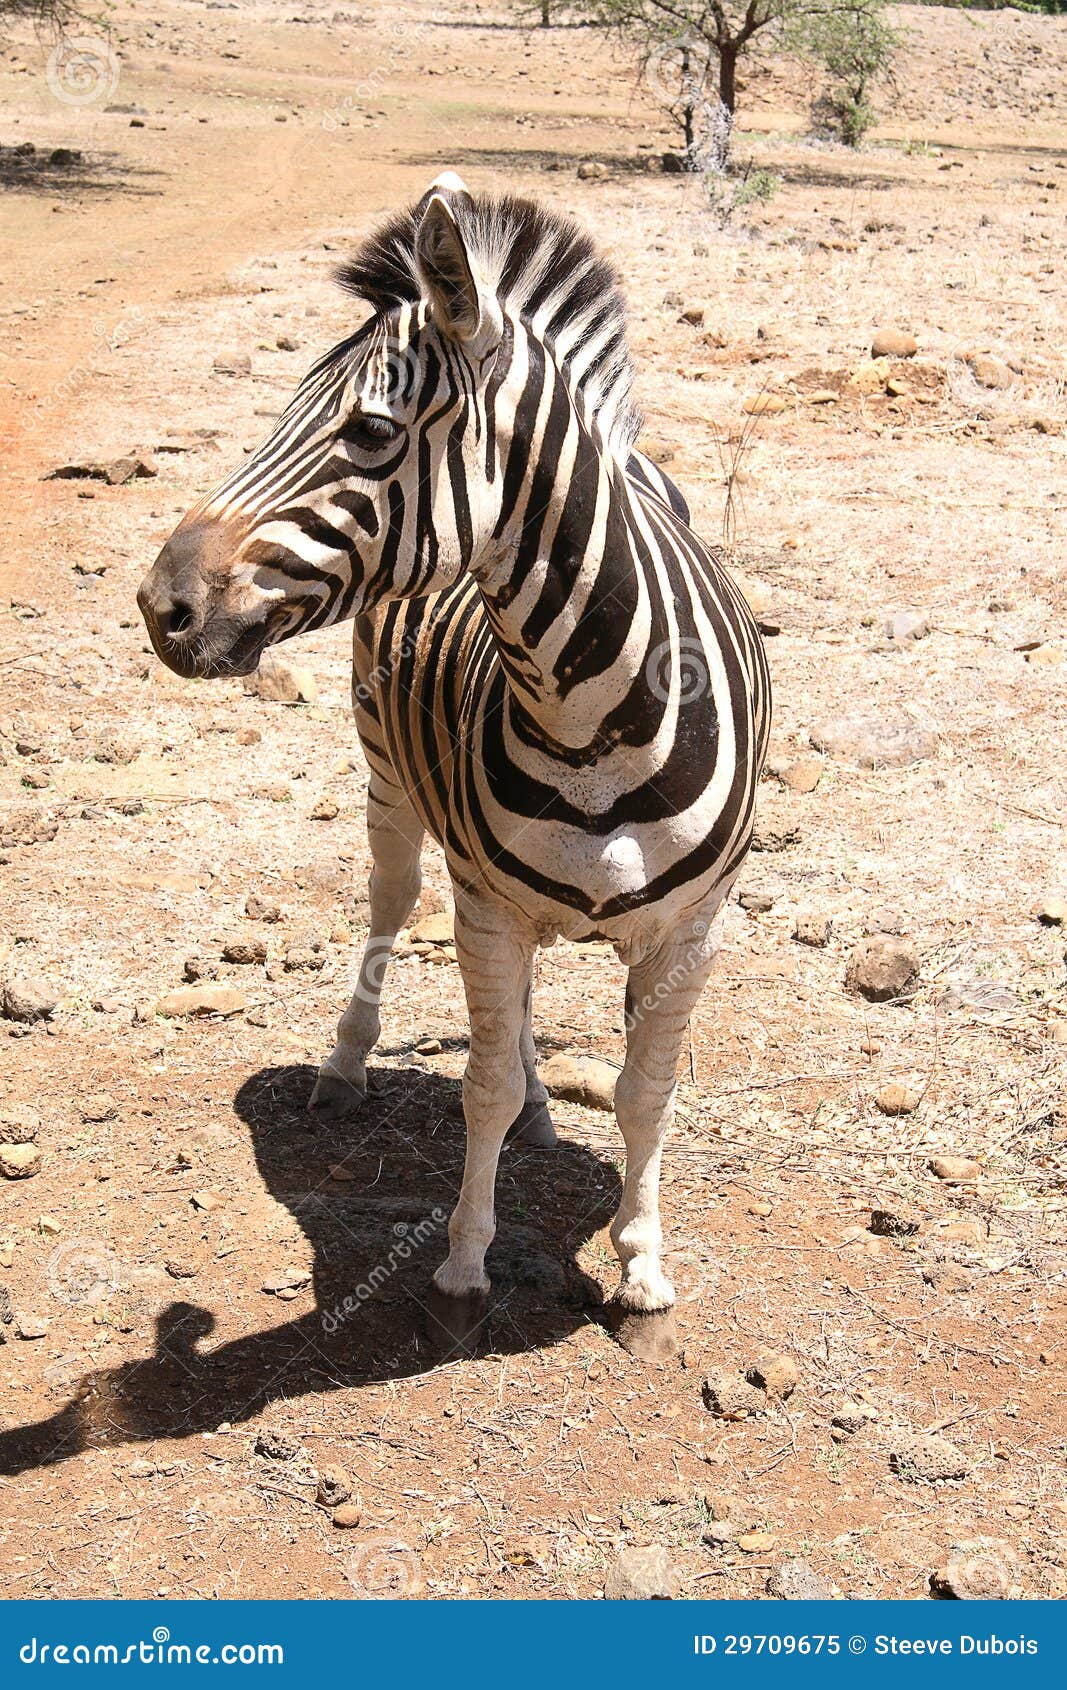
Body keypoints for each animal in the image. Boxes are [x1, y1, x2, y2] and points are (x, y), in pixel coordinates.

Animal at [138, 173, 771, 1351]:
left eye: (370, 429)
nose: (162, 608)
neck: (591, 711)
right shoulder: (483, 904)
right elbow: (477, 1088)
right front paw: (465, 1269)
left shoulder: (692, 928)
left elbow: (644, 1092)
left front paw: (641, 1271)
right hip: (389, 784)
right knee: (390, 911)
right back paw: (345, 1067)